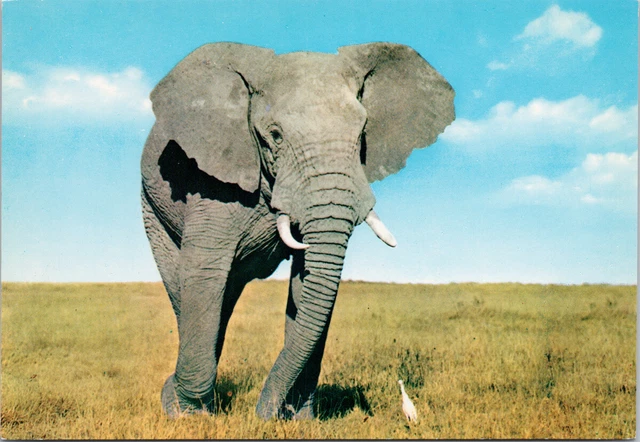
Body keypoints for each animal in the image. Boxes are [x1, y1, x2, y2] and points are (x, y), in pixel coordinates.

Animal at [140, 41, 454, 420]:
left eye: (362, 134)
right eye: (275, 135)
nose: (262, 414)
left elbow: (308, 281)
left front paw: (298, 421)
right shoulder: (211, 177)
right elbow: (204, 273)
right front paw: (190, 416)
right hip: (152, 208)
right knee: (187, 289)